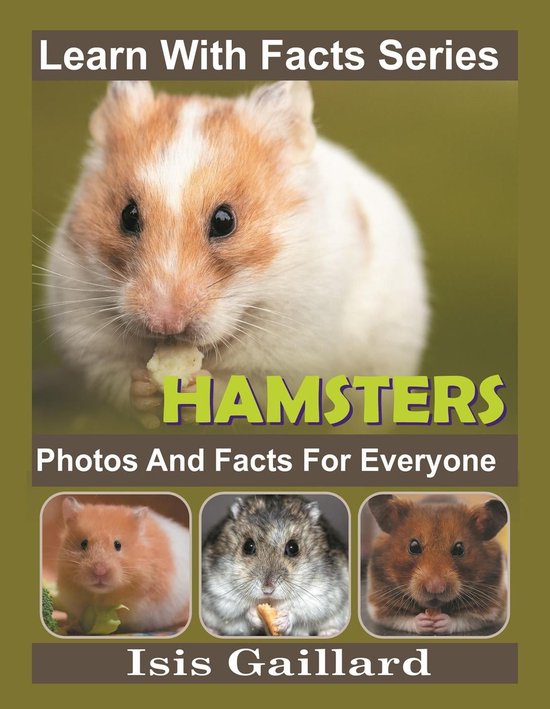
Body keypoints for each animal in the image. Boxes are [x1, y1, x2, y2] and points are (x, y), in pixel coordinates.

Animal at [44, 80, 429, 419]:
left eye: (224, 221)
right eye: (128, 215)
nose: (165, 323)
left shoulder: (288, 355)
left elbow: (239, 389)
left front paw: (194, 387)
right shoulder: (89, 341)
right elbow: (119, 378)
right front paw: (147, 386)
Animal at [201, 495, 349, 636]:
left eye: (293, 547)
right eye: (248, 546)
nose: (267, 590)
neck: (271, 601)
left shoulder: (320, 595)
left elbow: (299, 611)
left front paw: (281, 621)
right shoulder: (220, 593)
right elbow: (241, 612)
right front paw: (254, 614)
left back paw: (329, 632)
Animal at [366, 494, 508, 635]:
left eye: (459, 549)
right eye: (413, 546)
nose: (435, 588)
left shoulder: (492, 607)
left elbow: (466, 619)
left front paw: (442, 621)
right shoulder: (379, 605)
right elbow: (400, 618)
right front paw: (423, 621)